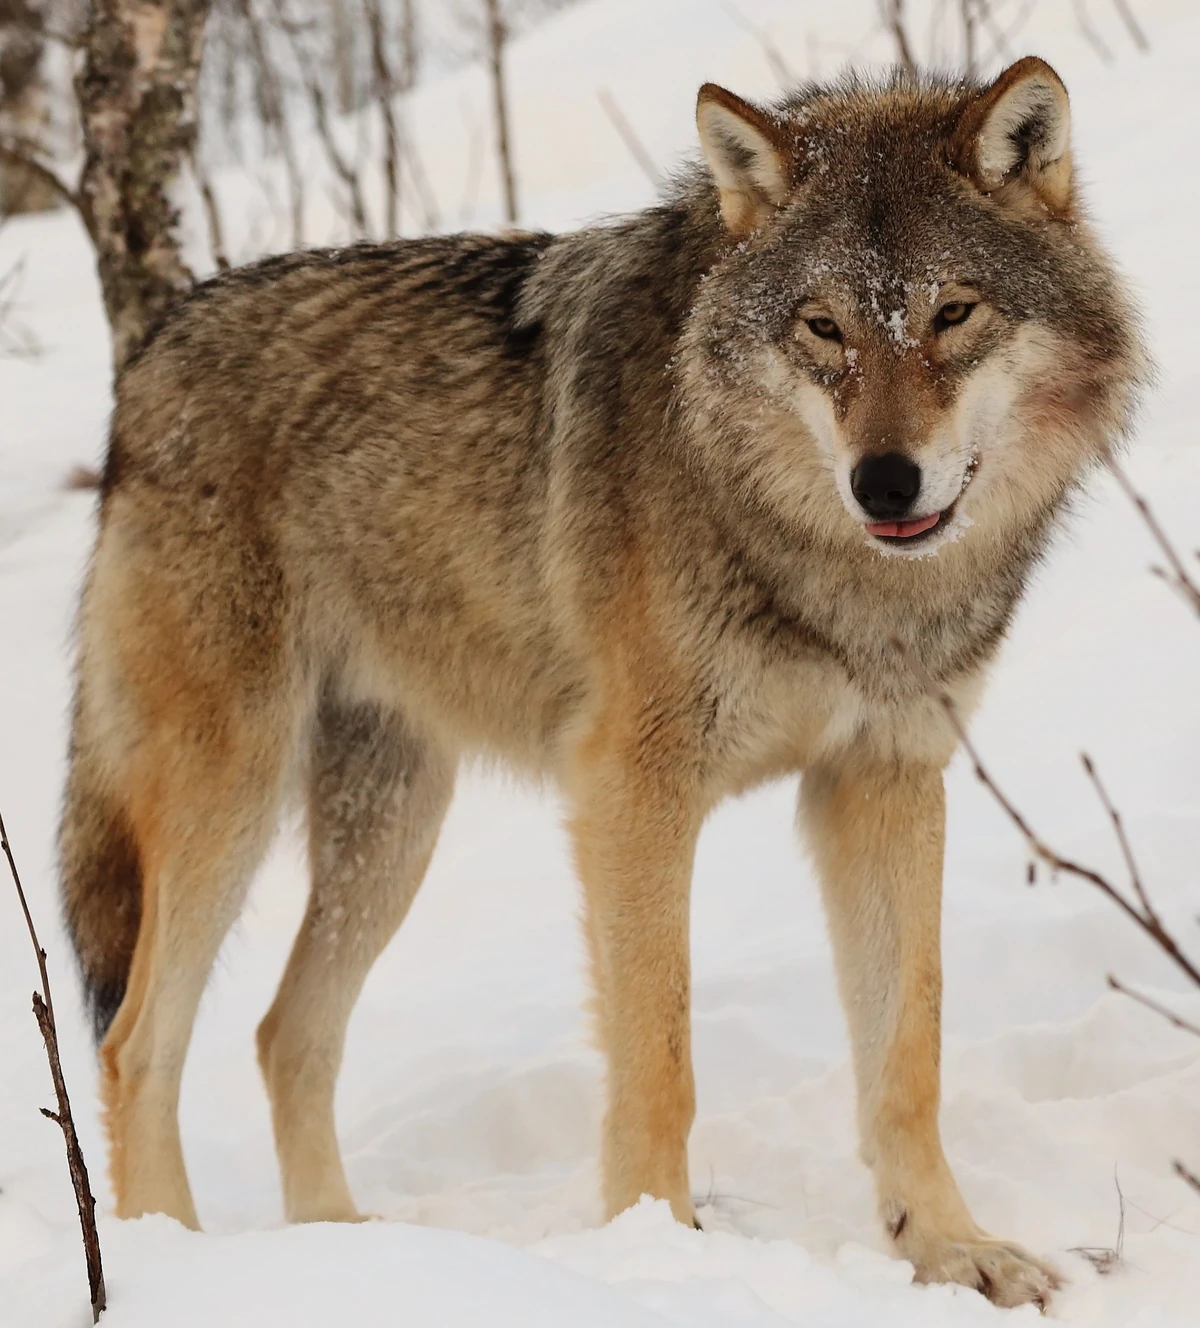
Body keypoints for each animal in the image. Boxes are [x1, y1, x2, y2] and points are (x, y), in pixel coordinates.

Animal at [60, 57, 1144, 1307]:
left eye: (953, 313)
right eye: (822, 327)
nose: (884, 481)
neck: (827, 570)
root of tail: (150, 352)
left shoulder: (883, 780)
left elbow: (906, 1053)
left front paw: (952, 1248)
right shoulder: (634, 788)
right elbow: (660, 1056)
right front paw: (658, 1251)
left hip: (392, 829)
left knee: (286, 1033)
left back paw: (351, 1251)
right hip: (228, 800)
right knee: (137, 1040)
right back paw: (173, 1261)